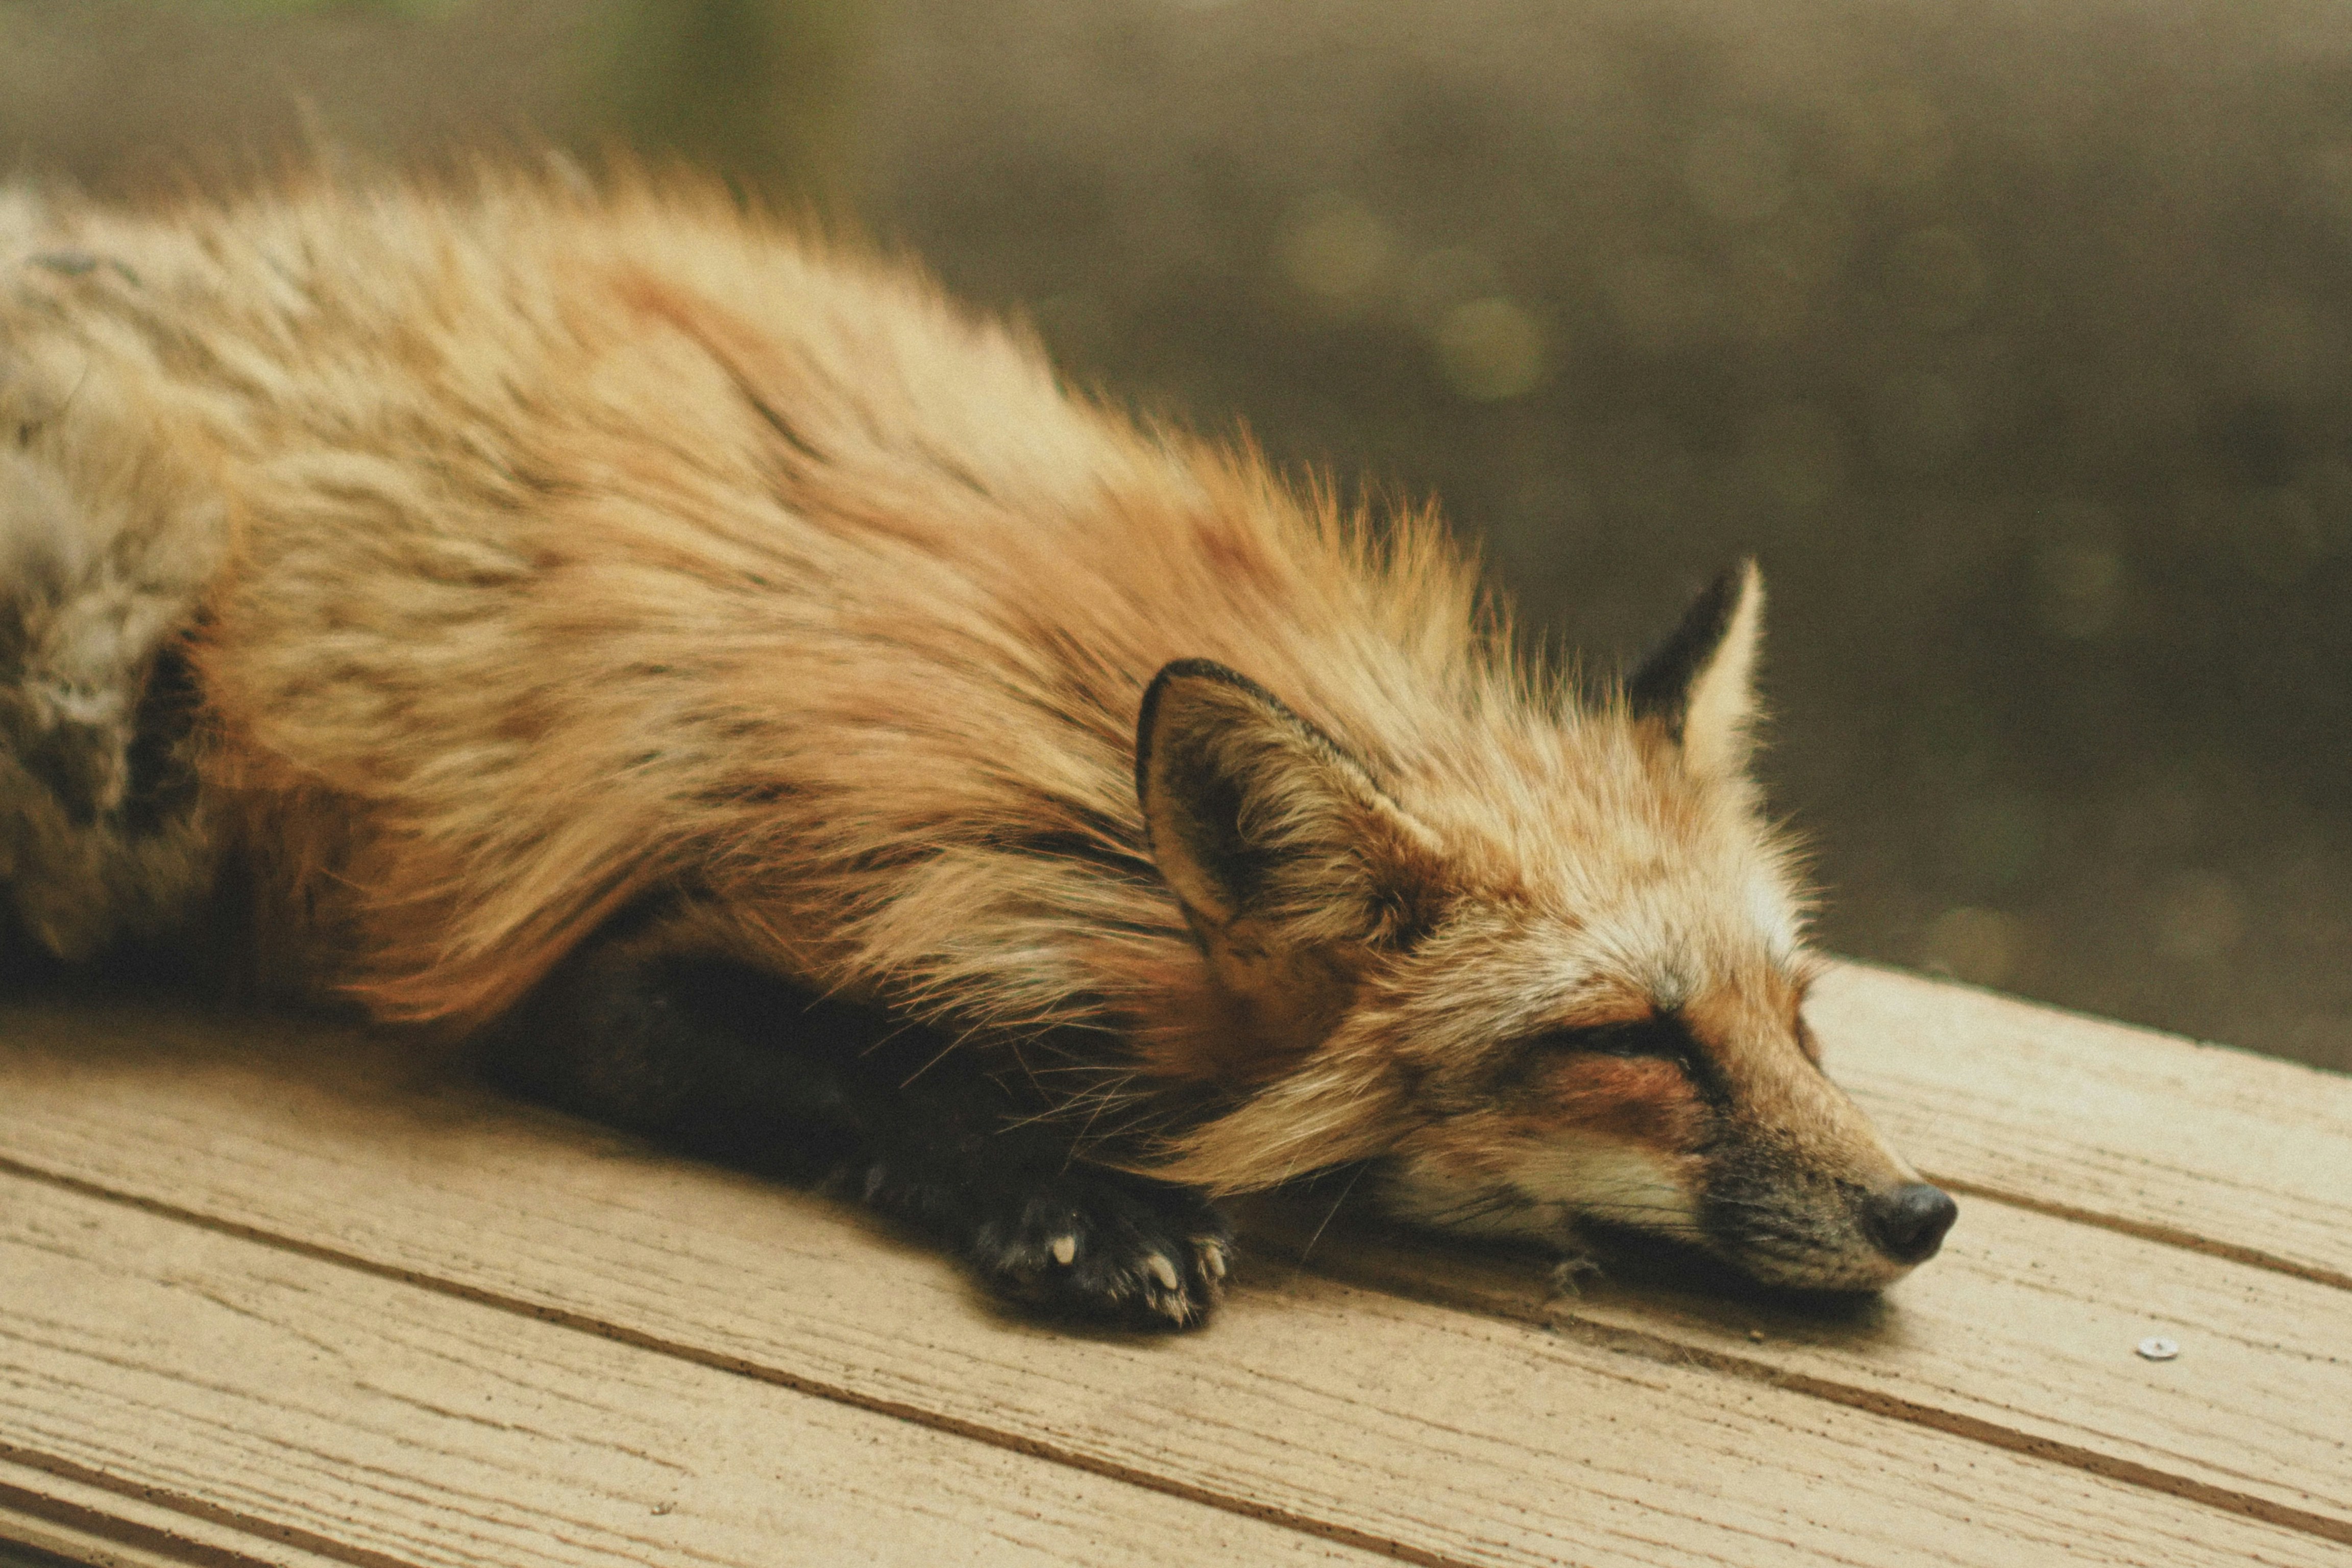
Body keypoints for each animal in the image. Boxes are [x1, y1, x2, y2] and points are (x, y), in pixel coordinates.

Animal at [0, 170, 1956, 1328]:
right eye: (1628, 1041)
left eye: (1792, 1017)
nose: (1919, 1210)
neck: (1058, 744)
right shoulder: (607, 952)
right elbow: (886, 1073)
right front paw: (1072, 1201)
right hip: (99, 700)